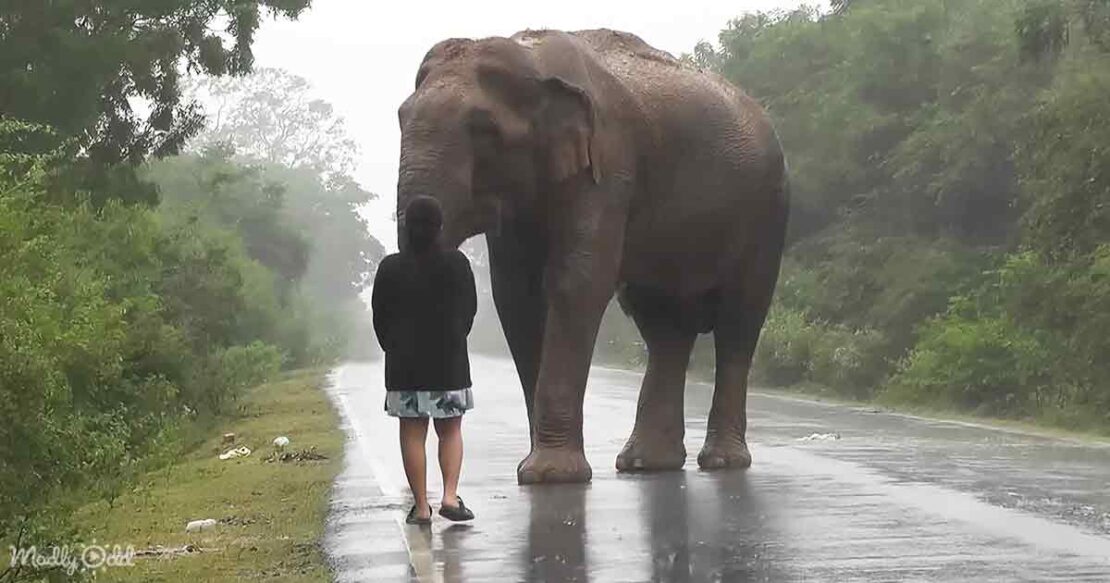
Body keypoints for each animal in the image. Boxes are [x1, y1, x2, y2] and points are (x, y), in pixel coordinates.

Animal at [396, 28, 789, 484]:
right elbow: (516, 297)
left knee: (738, 323)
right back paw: (645, 464)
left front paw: (550, 475)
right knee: (663, 325)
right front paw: (535, 469)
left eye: (484, 129)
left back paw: (722, 462)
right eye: (400, 117)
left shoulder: (609, 166)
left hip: (767, 214)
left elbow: (577, 283)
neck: (532, 58)